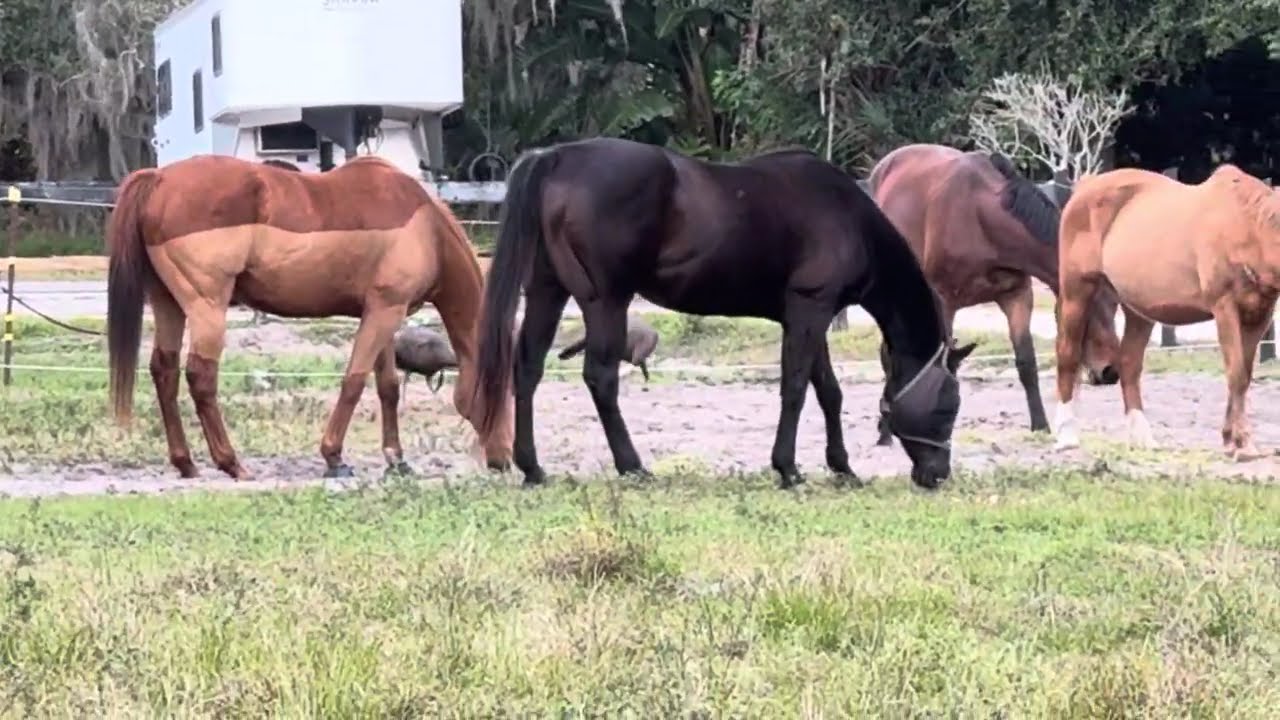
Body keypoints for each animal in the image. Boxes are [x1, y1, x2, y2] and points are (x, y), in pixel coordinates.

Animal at [105, 154, 513, 479]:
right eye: (502, 391)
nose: (504, 459)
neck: (425, 228)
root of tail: (159, 179)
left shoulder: (382, 312)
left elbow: (387, 388)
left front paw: (396, 460)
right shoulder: (385, 311)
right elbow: (353, 383)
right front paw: (334, 457)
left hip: (169, 304)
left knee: (165, 372)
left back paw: (185, 462)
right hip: (208, 306)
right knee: (200, 376)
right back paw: (230, 462)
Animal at [471, 136, 976, 490]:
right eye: (948, 404)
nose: (938, 473)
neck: (848, 216)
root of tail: (557, 157)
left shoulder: (809, 315)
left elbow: (828, 391)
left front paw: (842, 466)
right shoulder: (810, 309)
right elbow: (796, 388)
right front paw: (788, 467)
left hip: (547, 291)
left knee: (528, 369)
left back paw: (533, 467)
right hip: (605, 300)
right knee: (601, 377)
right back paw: (632, 465)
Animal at [865, 144, 1121, 443]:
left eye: (1115, 305)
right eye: (1086, 309)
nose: (1110, 371)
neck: (981, 216)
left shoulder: (1017, 296)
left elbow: (1026, 362)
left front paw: (1040, 424)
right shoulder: (944, 301)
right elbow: (942, 363)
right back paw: (886, 430)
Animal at [1054, 163, 1280, 459]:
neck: (1249, 228)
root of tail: (1083, 188)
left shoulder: (1259, 315)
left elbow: (1244, 376)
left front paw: (1234, 440)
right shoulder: (1225, 309)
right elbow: (1237, 373)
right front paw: (1241, 443)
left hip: (1138, 310)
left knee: (1129, 364)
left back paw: (1142, 437)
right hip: (1077, 293)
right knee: (1067, 354)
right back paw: (1066, 435)